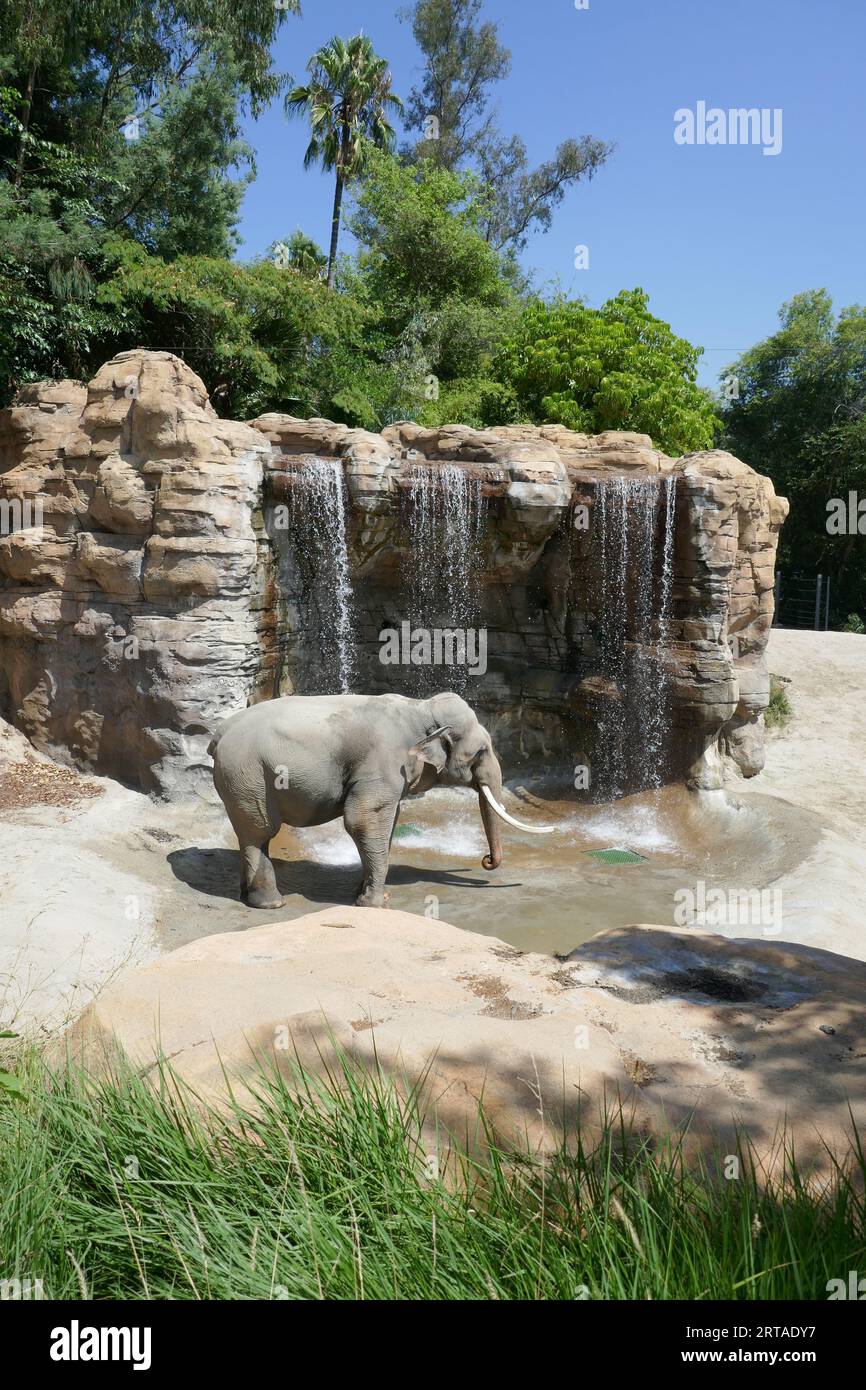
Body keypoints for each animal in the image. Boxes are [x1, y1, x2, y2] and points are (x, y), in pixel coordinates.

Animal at [208, 690, 556, 910]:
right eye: (481, 752)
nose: (485, 861)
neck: (419, 708)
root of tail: (219, 734)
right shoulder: (383, 762)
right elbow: (362, 819)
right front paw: (372, 904)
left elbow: (387, 824)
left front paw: (368, 894)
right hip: (248, 773)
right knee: (260, 832)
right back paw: (271, 904)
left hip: (239, 779)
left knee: (251, 834)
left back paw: (248, 896)